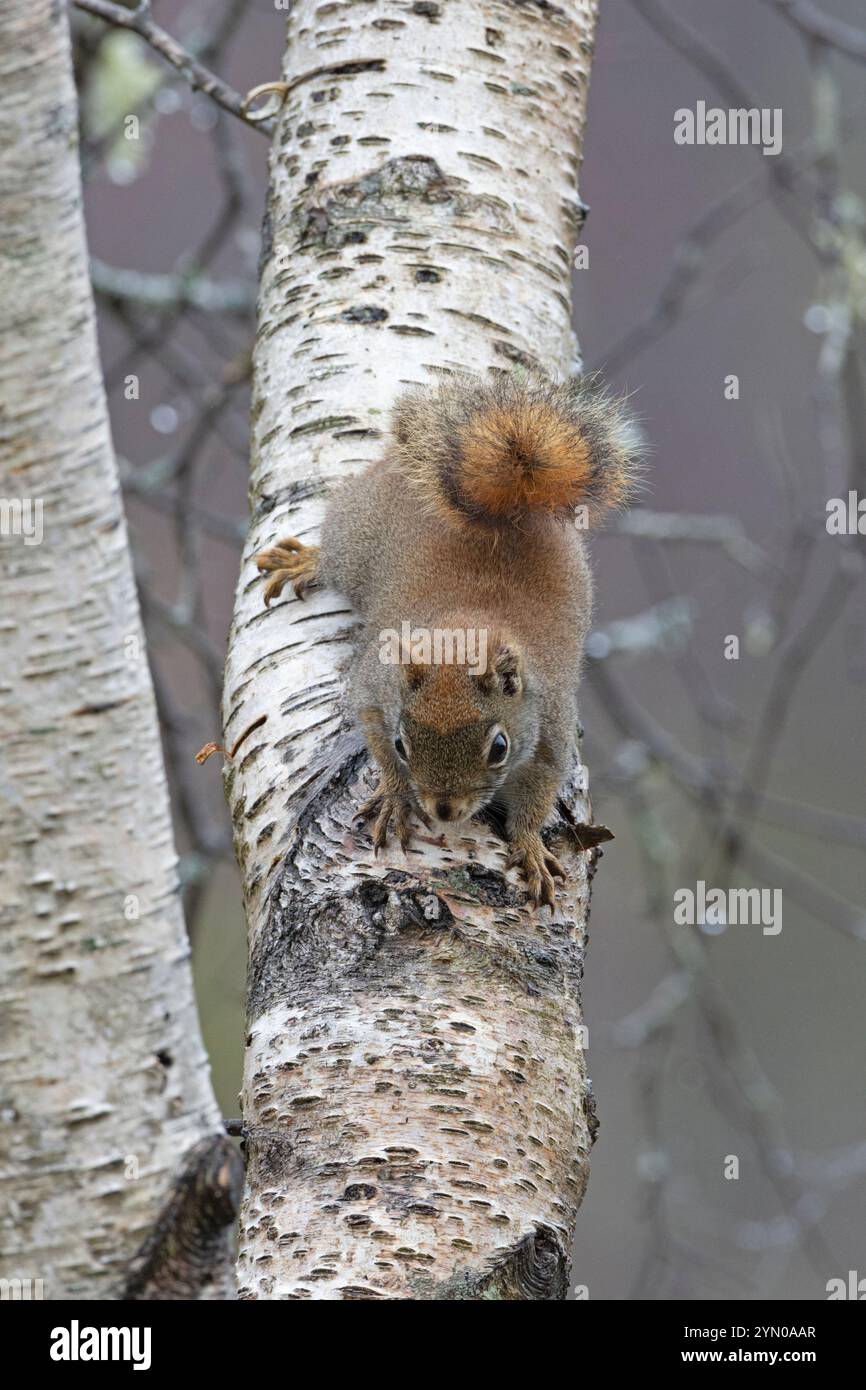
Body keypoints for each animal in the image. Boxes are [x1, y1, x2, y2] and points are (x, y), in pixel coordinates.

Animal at [256, 372, 642, 906]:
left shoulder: (550, 725)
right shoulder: (376, 687)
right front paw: (394, 795)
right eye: (402, 743)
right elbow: (375, 738)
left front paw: (529, 846)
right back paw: (304, 562)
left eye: (499, 748)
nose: (444, 810)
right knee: (332, 556)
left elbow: (539, 793)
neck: (465, 629)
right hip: (354, 538)